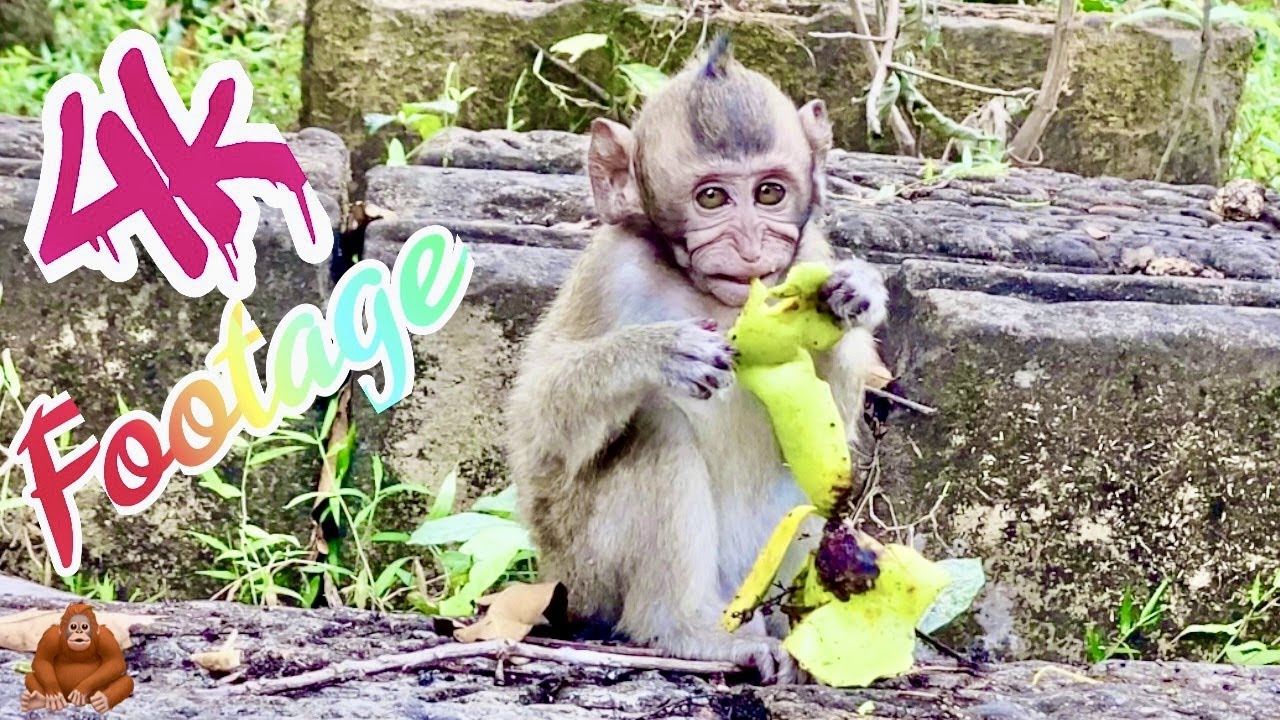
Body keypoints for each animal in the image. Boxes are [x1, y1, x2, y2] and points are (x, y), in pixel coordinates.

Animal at [504, 35, 889, 684]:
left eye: (769, 192)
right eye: (712, 198)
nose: (752, 248)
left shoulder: (808, 250)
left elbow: (833, 412)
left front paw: (848, 298)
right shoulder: (611, 269)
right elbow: (540, 435)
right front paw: (657, 351)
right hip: (584, 574)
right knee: (653, 428)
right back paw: (685, 631)